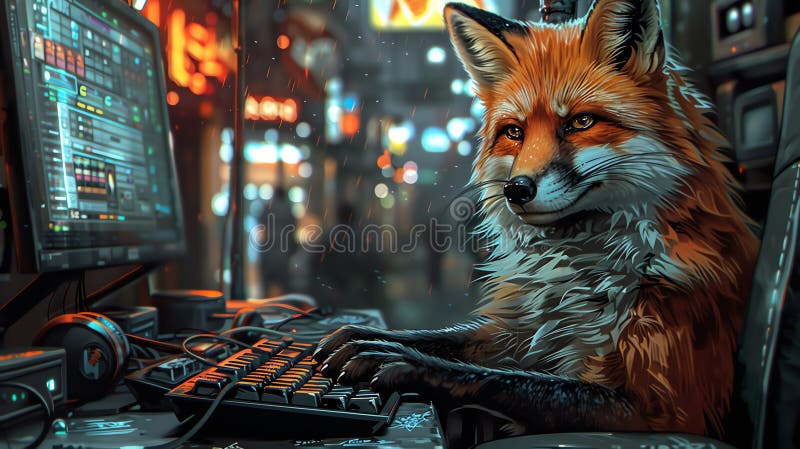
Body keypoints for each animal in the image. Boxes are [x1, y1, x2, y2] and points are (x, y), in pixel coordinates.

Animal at [313, 0, 760, 437]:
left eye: (581, 122)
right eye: (515, 132)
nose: (516, 190)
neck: (578, 274)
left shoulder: (662, 406)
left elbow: (499, 378)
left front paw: (400, 360)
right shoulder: (521, 331)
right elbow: (441, 340)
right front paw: (362, 334)